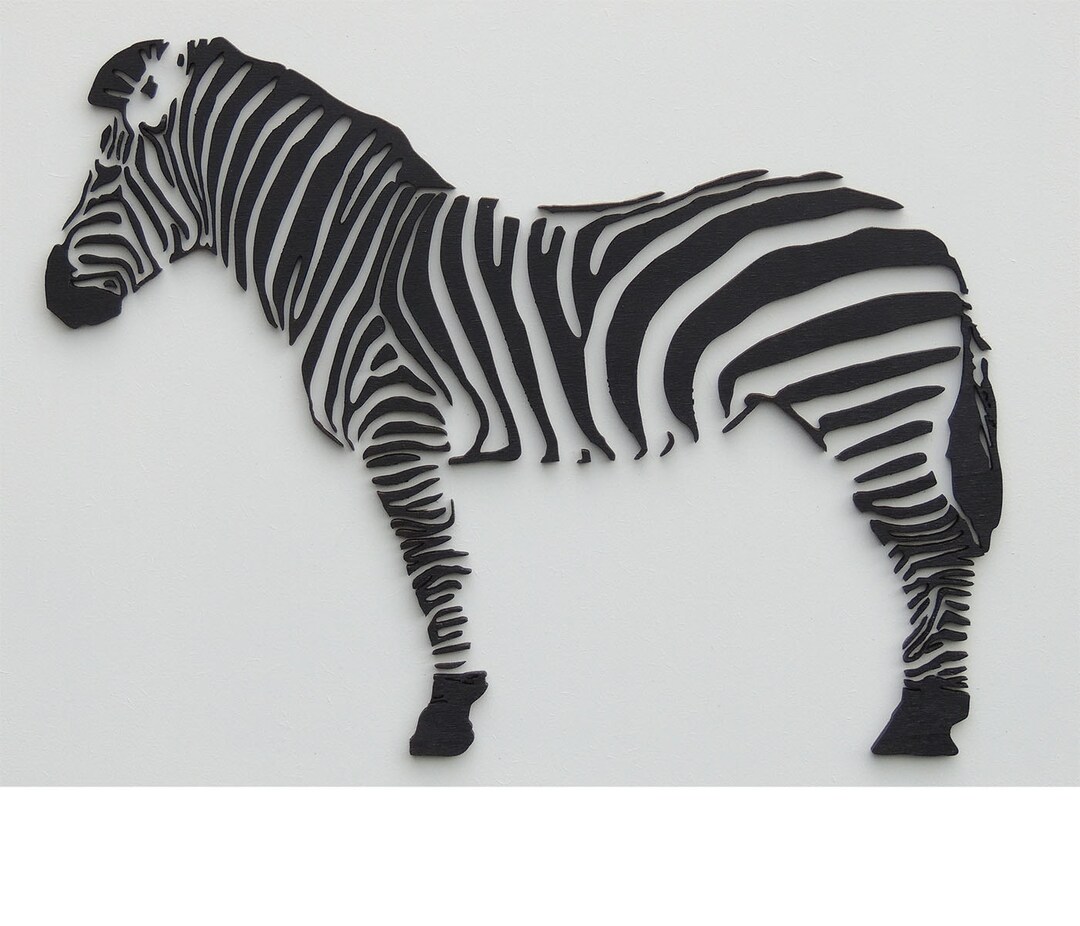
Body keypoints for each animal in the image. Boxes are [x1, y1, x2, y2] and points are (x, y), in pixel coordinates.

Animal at [45, 38, 1001, 759]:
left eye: (105, 175)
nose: (54, 298)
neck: (345, 255)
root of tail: (935, 244)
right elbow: (440, 567)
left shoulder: (398, 425)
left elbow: (432, 568)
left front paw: (445, 717)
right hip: (874, 412)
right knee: (919, 549)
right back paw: (929, 708)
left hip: (871, 399)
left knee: (940, 546)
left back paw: (922, 725)